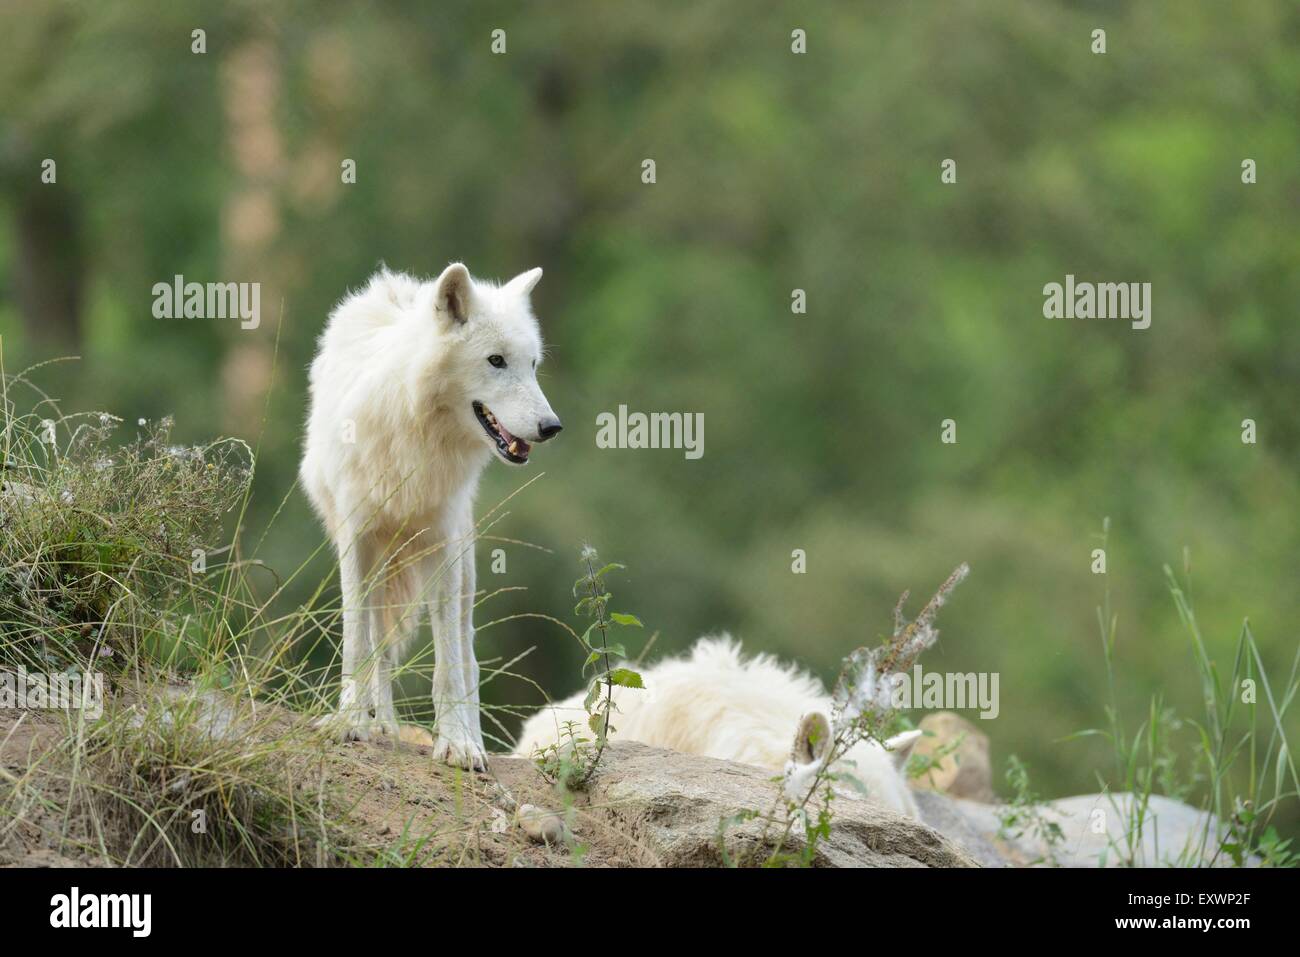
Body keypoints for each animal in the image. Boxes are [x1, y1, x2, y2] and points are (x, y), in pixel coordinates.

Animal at [301, 263, 561, 769]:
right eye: (496, 361)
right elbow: (357, 642)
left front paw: (457, 744)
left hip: (462, 566)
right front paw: (349, 723)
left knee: (465, 655)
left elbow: (449, 667)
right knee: (379, 645)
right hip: (381, 562)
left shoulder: (442, 544)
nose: (551, 427)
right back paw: (380, 723)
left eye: (533, 364)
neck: (419, 428)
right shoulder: (356, 538)